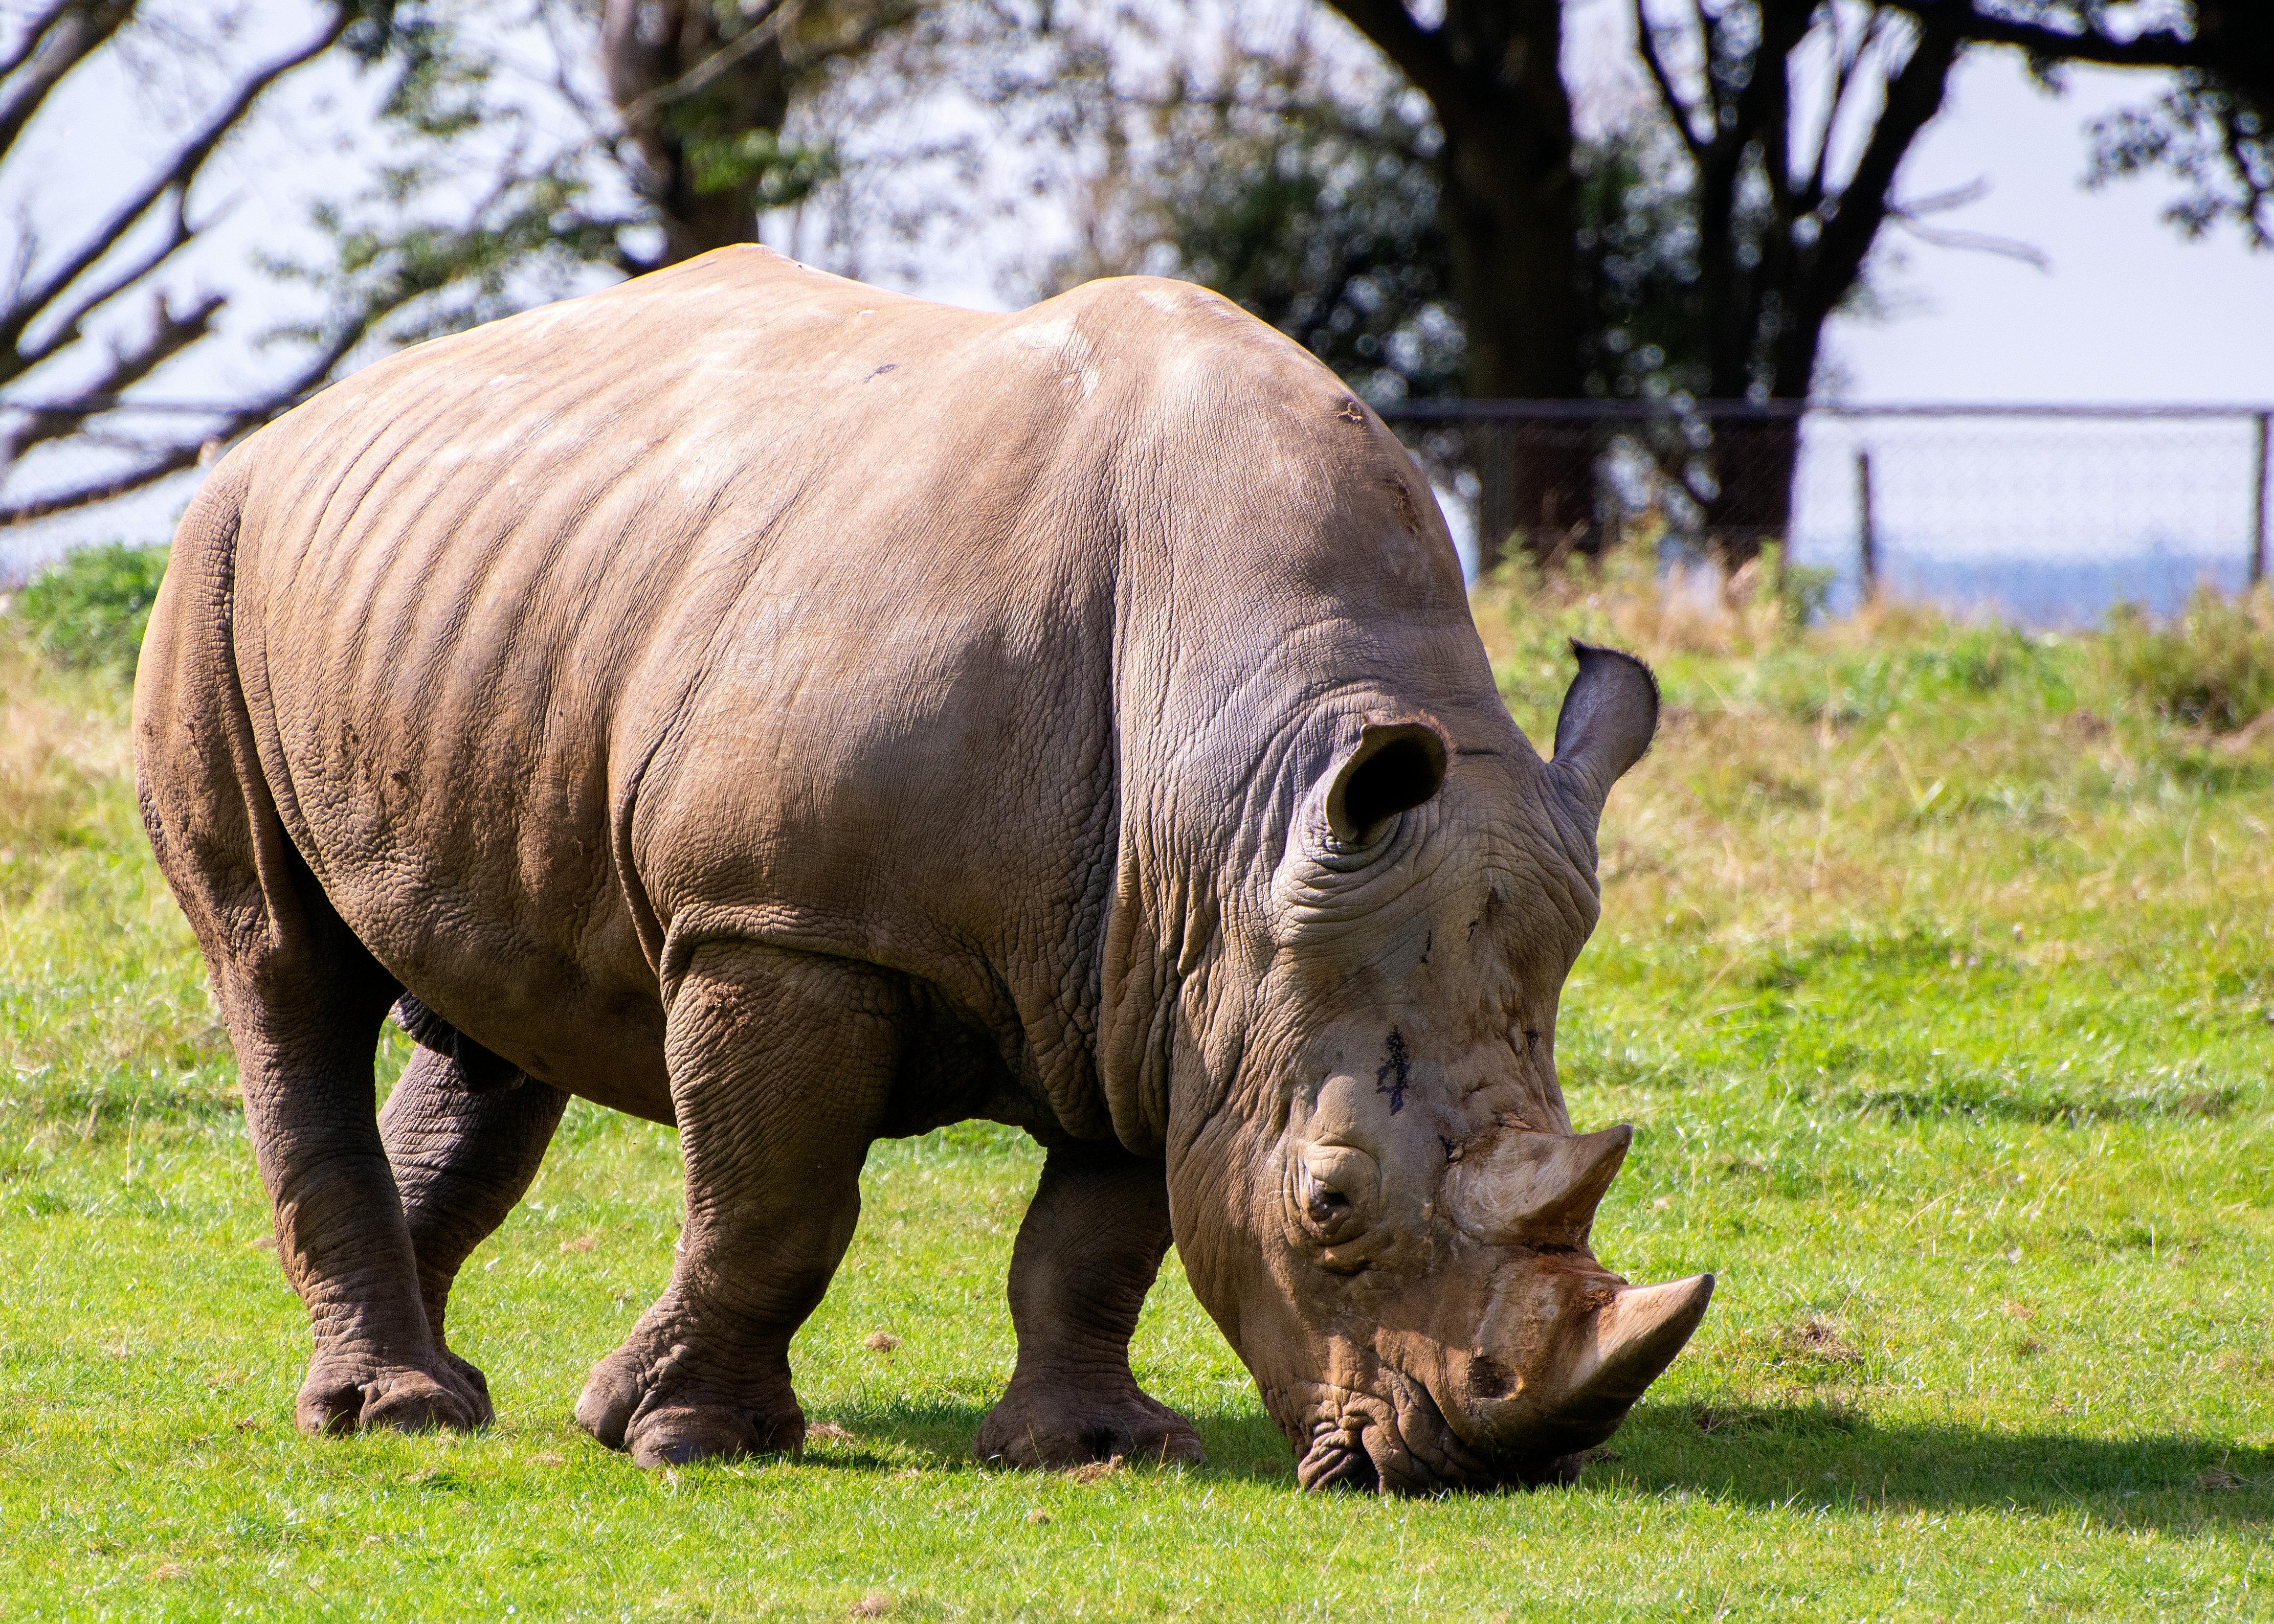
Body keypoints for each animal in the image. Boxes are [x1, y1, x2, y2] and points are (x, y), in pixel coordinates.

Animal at [133, 246, 1711, 1493]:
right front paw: (681, 1439)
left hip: (490, 605)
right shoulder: (786, 923)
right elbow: (776, 1204)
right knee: (280, 967)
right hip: (215, 558)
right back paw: (388, 1415)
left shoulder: (1171, 970)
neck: (1241, 794)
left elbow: (1097, 1235)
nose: (1465, 1463)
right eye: (1328, 1201)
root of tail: (301, 422)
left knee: (490, 999)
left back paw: (432, 1400)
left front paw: (1095, 1449)